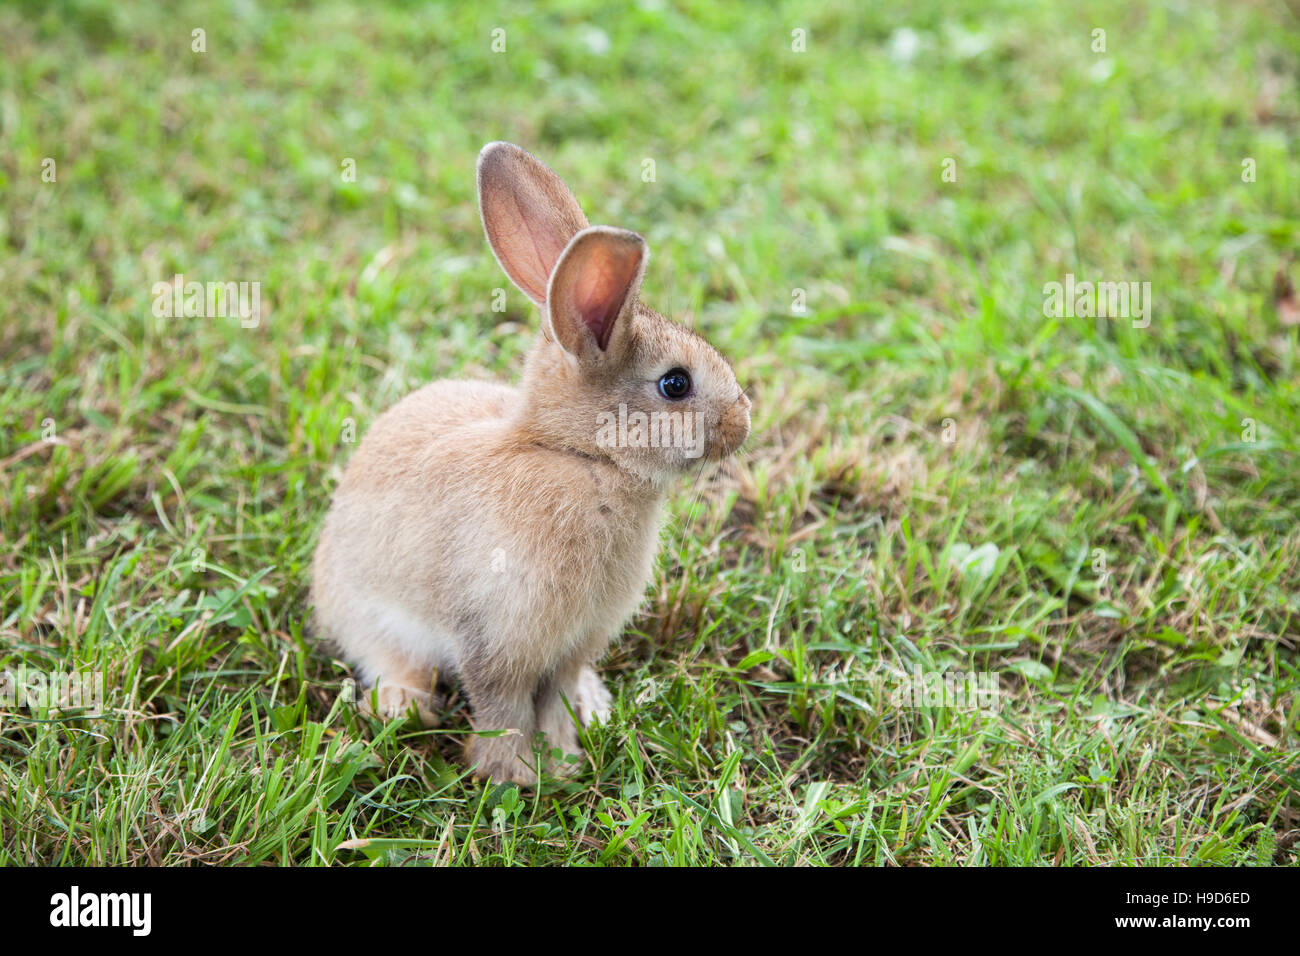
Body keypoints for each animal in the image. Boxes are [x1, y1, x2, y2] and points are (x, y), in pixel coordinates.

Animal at [311, 142, 751, 786]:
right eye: (675, 384)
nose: (744, 421)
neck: (580, 457)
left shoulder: (574, 643)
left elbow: (555, 696)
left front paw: (564, 757)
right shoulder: (494, 636)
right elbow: (505, 705)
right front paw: (513, 773)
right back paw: (404, 705)